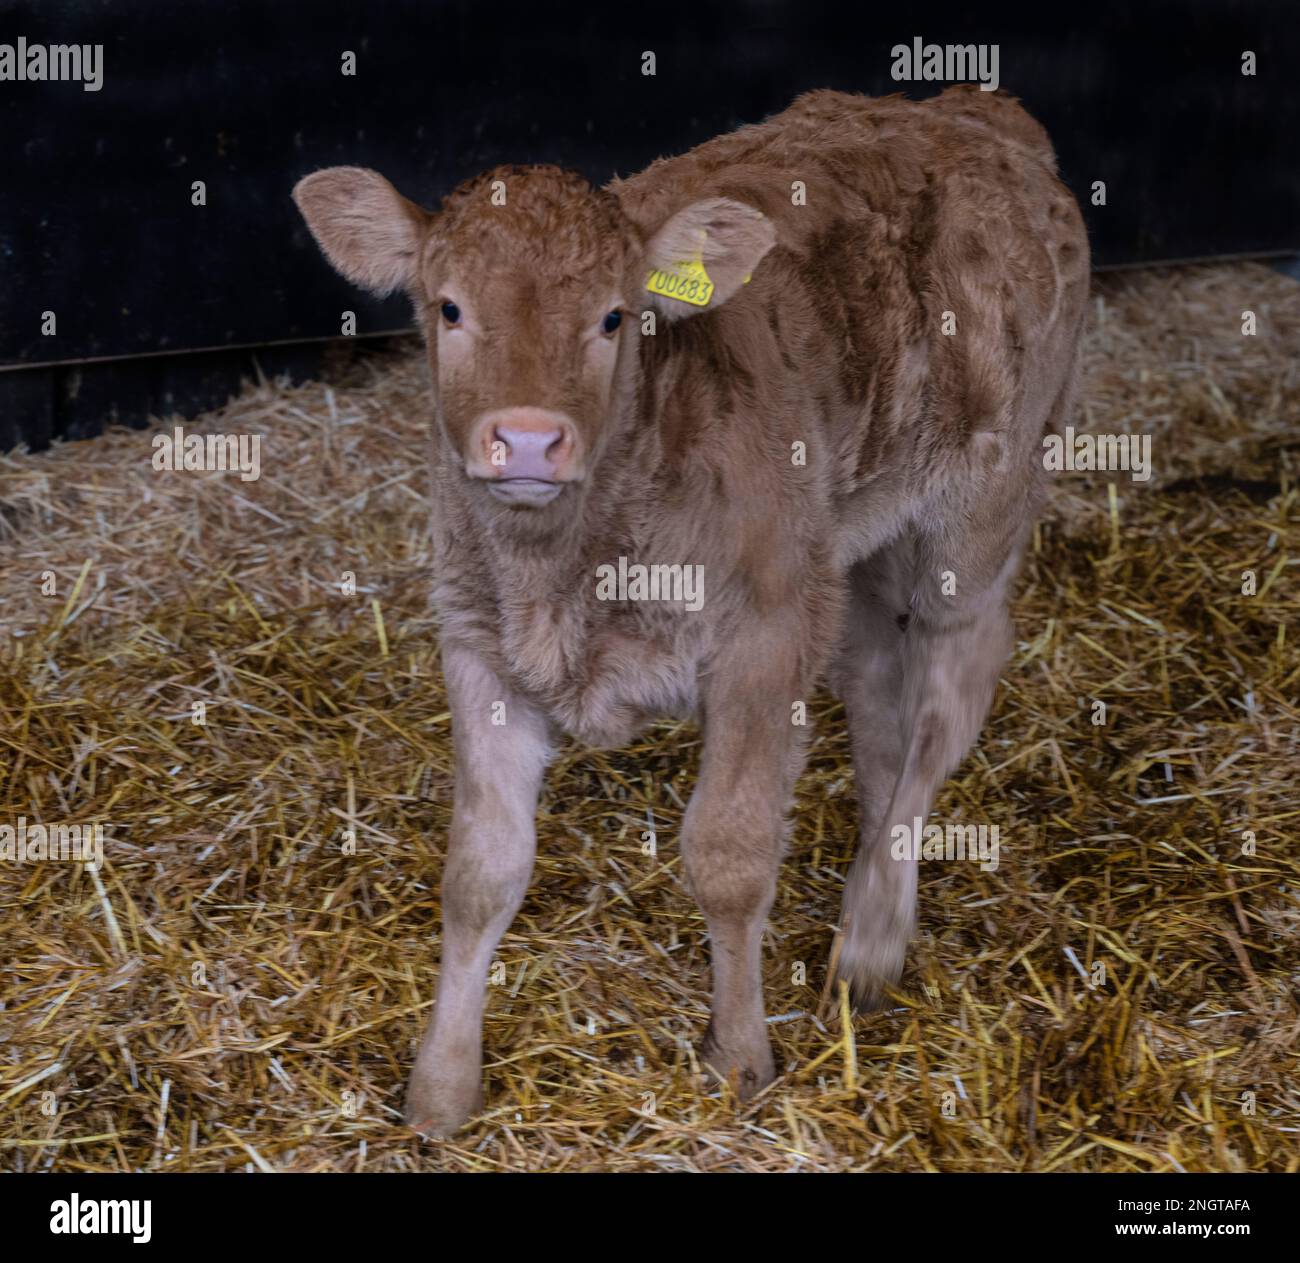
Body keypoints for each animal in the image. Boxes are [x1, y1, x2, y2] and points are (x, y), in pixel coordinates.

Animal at [293, 86, 1089, 1136]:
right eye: (450, 307)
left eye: (615, 317)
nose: (528, 439)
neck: (569, 570)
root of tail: (970, 107)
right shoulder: (478, 643)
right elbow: (479, 874)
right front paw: (440, 1089)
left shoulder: (764, 633)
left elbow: (729, 857)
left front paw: (740, 1058)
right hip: (849, 549)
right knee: (881, 703)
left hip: (976, 515)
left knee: (945, 703)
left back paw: (871, 941)